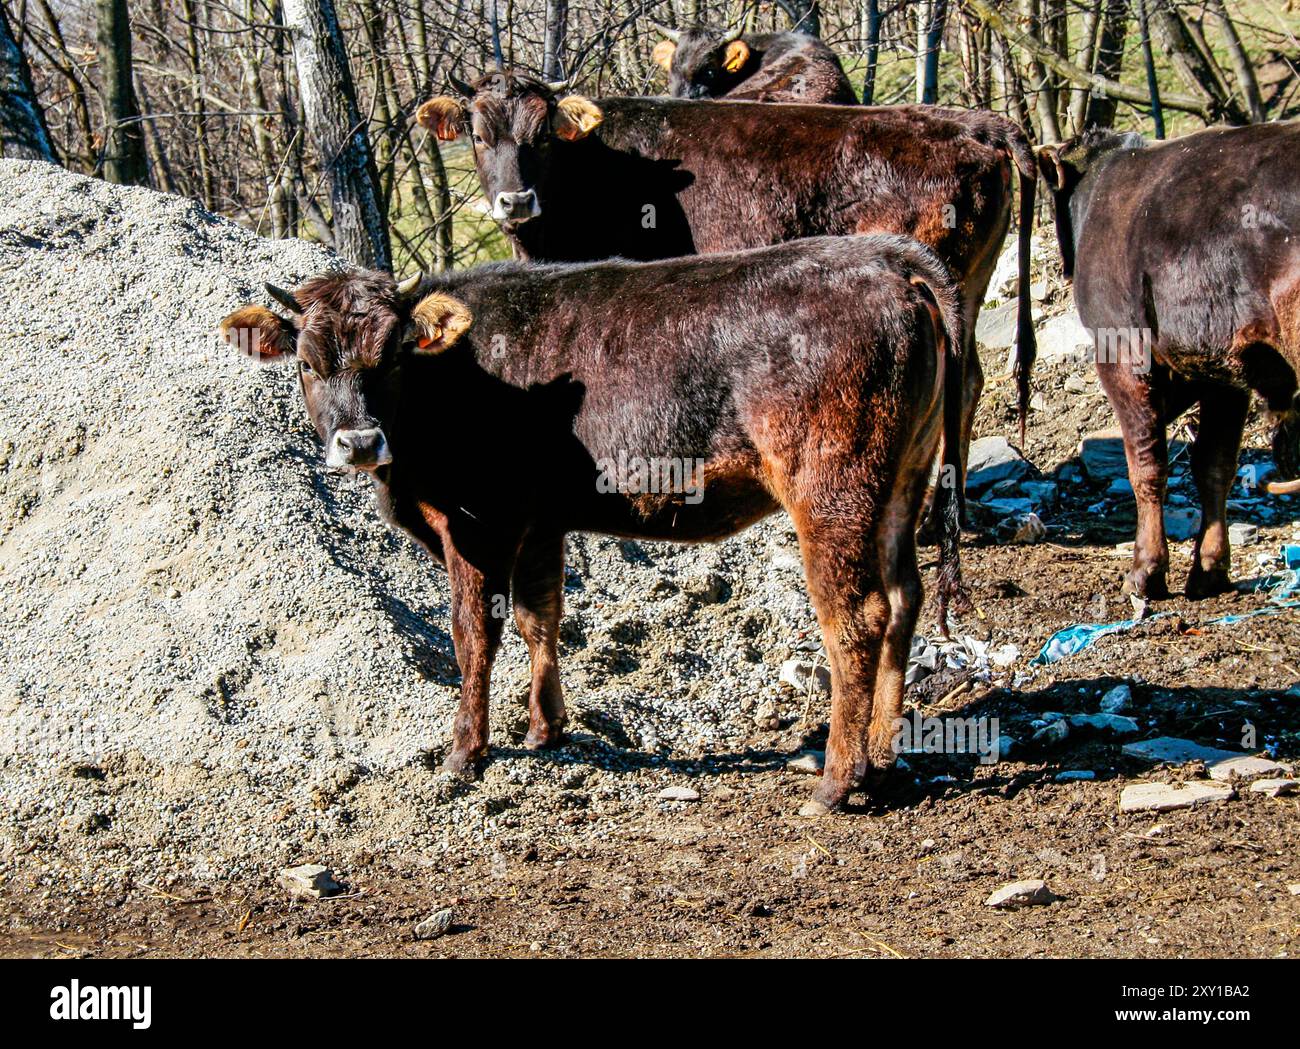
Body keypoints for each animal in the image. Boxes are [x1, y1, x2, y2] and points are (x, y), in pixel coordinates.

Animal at [219, 234, 968, 816]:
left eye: (393, 356)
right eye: (307, 362)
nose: (359, 442)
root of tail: (885, 256)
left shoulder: (478, 521)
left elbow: (473, 631)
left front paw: (466, 749)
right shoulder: (539, 521)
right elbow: (538, 615)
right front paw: (545, 730)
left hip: (831, 489)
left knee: (857, 618)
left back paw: (838, 780)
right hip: (903, 480)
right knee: (904, 599)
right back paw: (881, 757)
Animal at [417, 71, 1039, 502]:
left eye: (543, 137)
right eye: (478, 135)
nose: (516, 201)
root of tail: (972, 123)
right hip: (967, 286)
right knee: (971, 378)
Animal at [1036, 121, 1300, 599]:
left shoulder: (1122, 356)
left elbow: (1147, 465)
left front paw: (1147, 570)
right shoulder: (1224, 373)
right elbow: (1214, 465)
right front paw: (1210, 569)